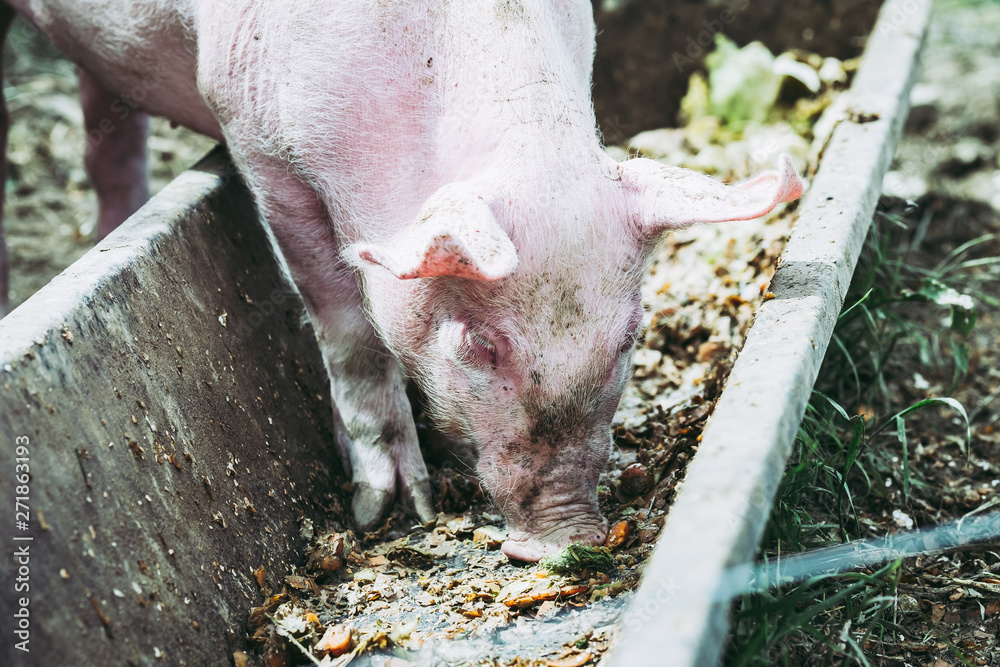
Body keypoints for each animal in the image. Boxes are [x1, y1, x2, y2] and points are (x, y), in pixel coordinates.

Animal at [2, 0, 803, 561]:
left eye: (632, 334)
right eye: (477, 344)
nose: (567, 537)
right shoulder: (257, 135)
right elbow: (342, 318)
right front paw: (390, 511)